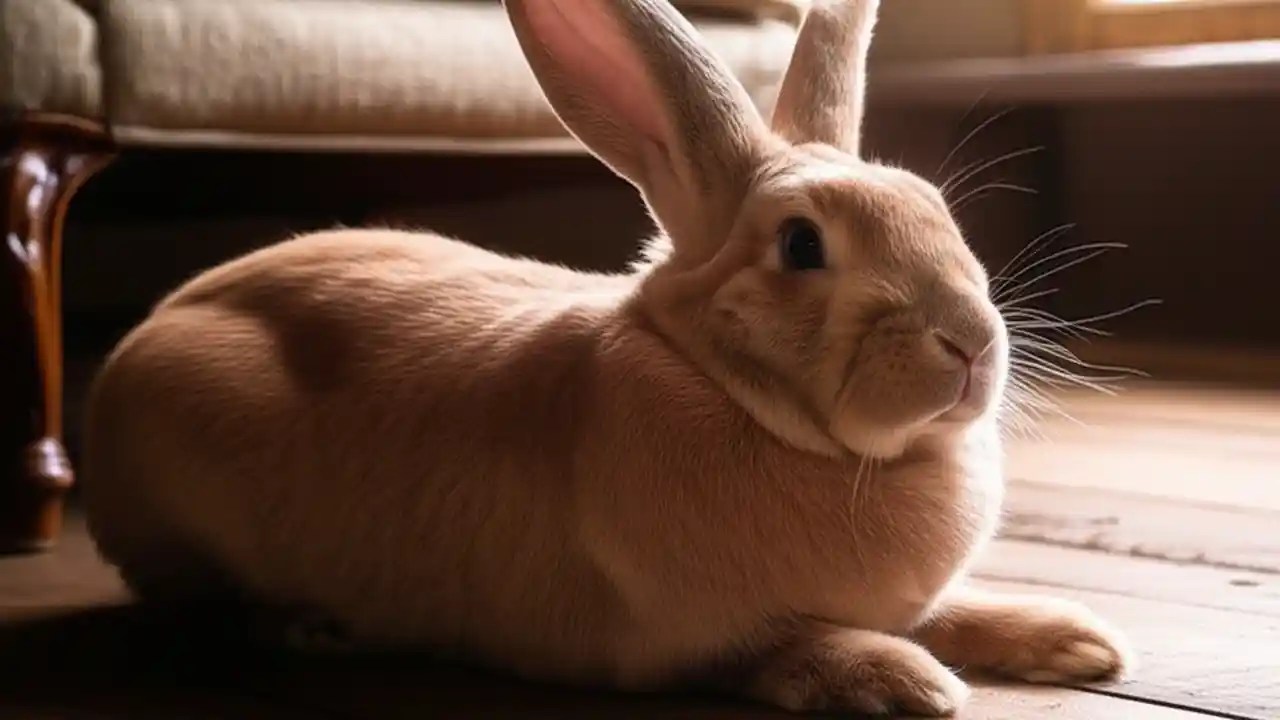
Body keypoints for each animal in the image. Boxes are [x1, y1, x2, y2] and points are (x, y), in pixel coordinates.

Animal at [81, 0, 1133, 715]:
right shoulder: (685, 643)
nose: (972, 343)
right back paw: (312, 626)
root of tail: (143, 337)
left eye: (936, 208)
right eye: (801, 247)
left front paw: (1074, 641)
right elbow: (784, 649)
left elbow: (950, 606)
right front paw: (902, 679)